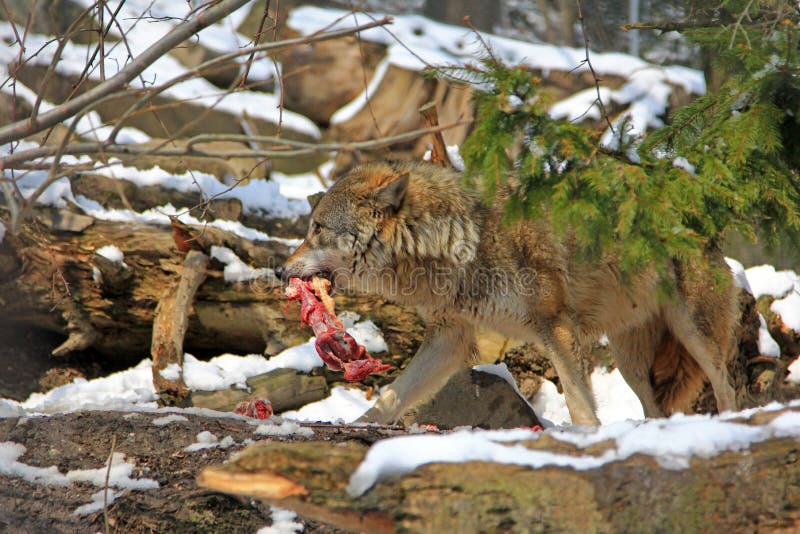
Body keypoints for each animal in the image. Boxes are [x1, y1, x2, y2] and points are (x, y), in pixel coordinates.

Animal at [280, 160, 740, 425]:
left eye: (317, 229)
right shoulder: (450, 338)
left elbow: (580, 405)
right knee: (656, 409)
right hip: (630, 361)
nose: (282, 269)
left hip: (695, 335)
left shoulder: (556, 327)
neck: (462, 240)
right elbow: (392, 396)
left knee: (729, 390)